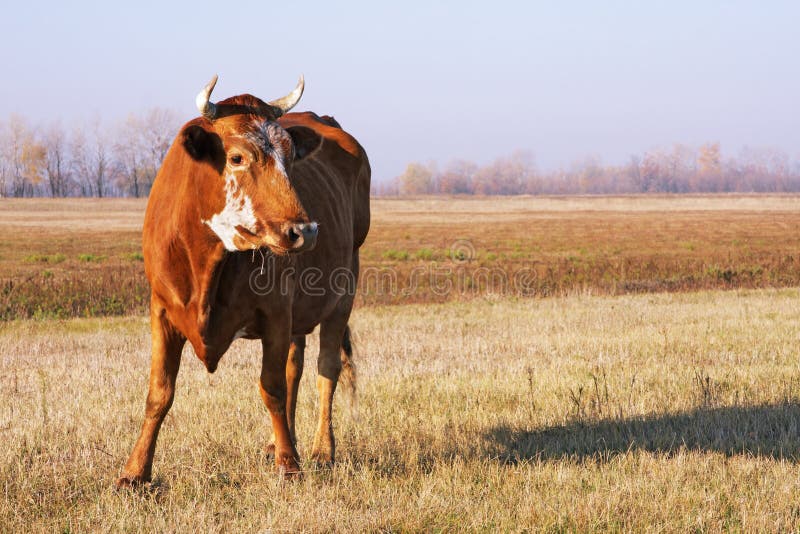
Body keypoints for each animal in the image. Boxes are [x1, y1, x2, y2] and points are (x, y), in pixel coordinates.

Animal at [116, 75, 370, 487]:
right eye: (236, 157)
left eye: (290, 157)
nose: (304, 231)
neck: (207, 264)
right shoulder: (161, 311)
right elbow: (159, 393)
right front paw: (134, 472)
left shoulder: (276, 311)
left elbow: (272, 388)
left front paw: (290, 465)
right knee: (296, 366)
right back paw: (279, 443)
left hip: (344, 290)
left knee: (326, 368)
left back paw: (321, 450)